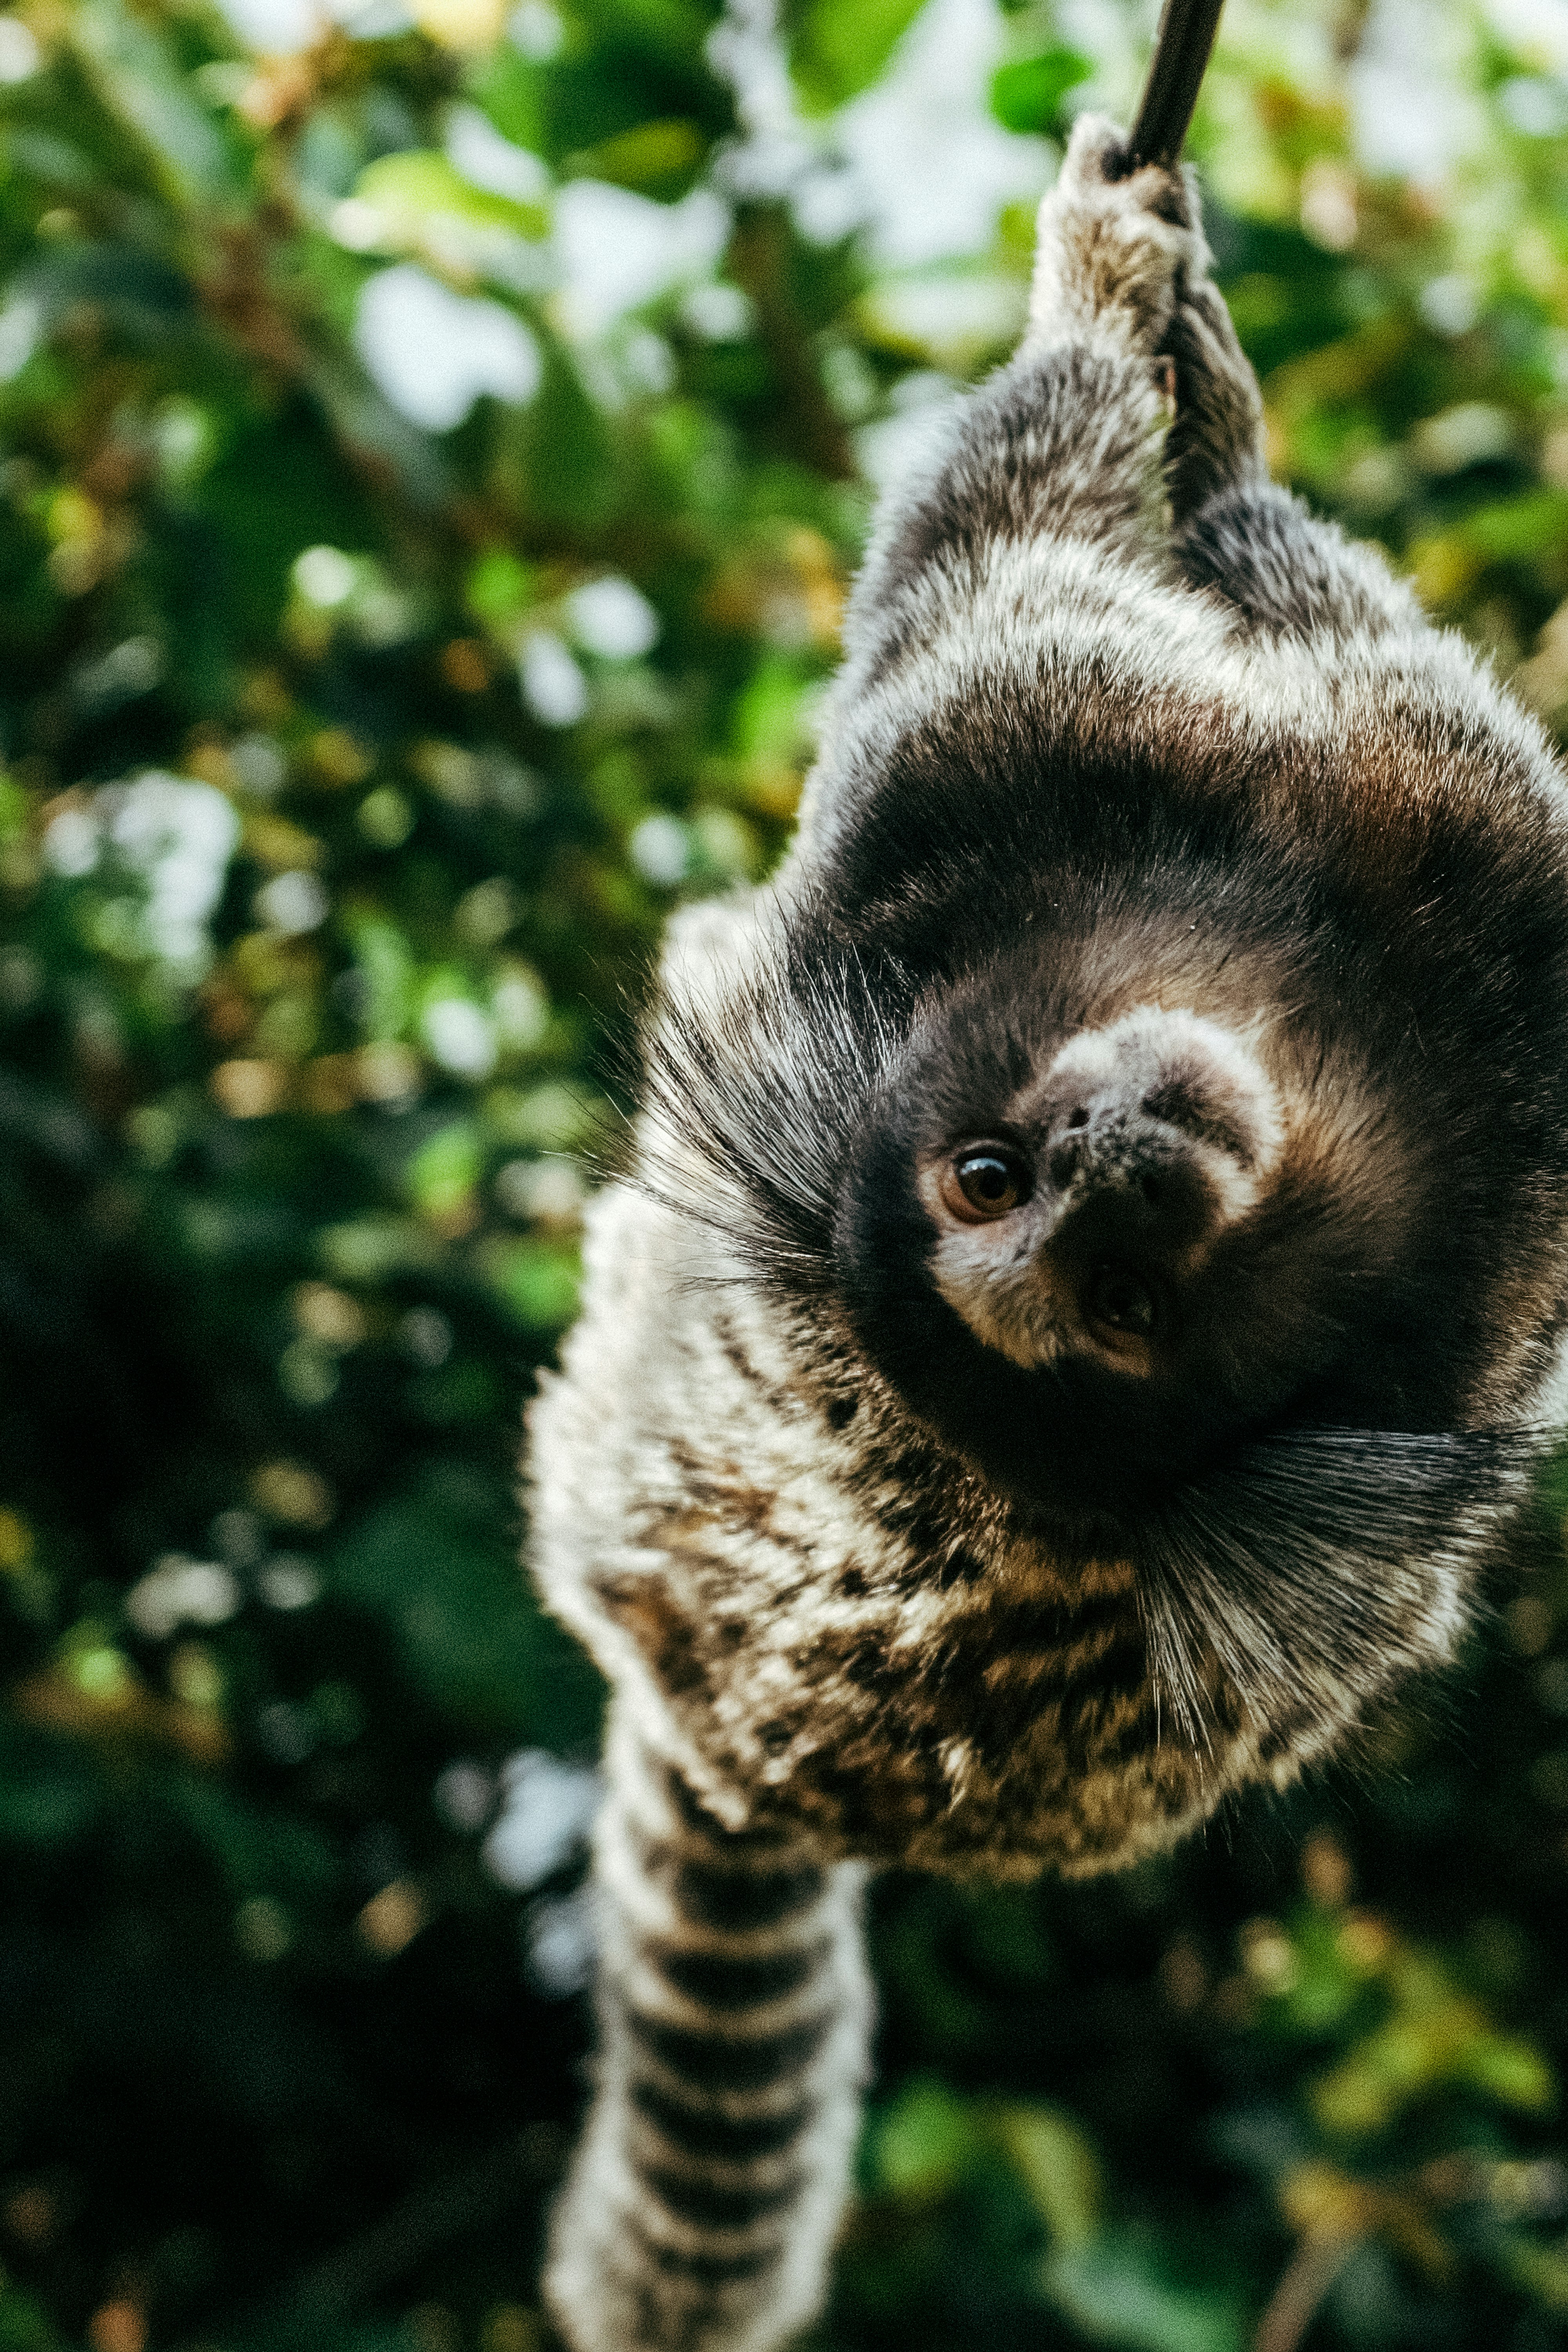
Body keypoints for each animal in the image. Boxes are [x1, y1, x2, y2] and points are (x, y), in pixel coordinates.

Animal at [525, 116, 1568, 2352]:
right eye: (1018, 1218)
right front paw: (1136, 315)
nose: (1111, 1160)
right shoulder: (998, 743)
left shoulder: (1507, 1166)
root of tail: (725, 1739)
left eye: (1080, 1257)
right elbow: (1037, 520)